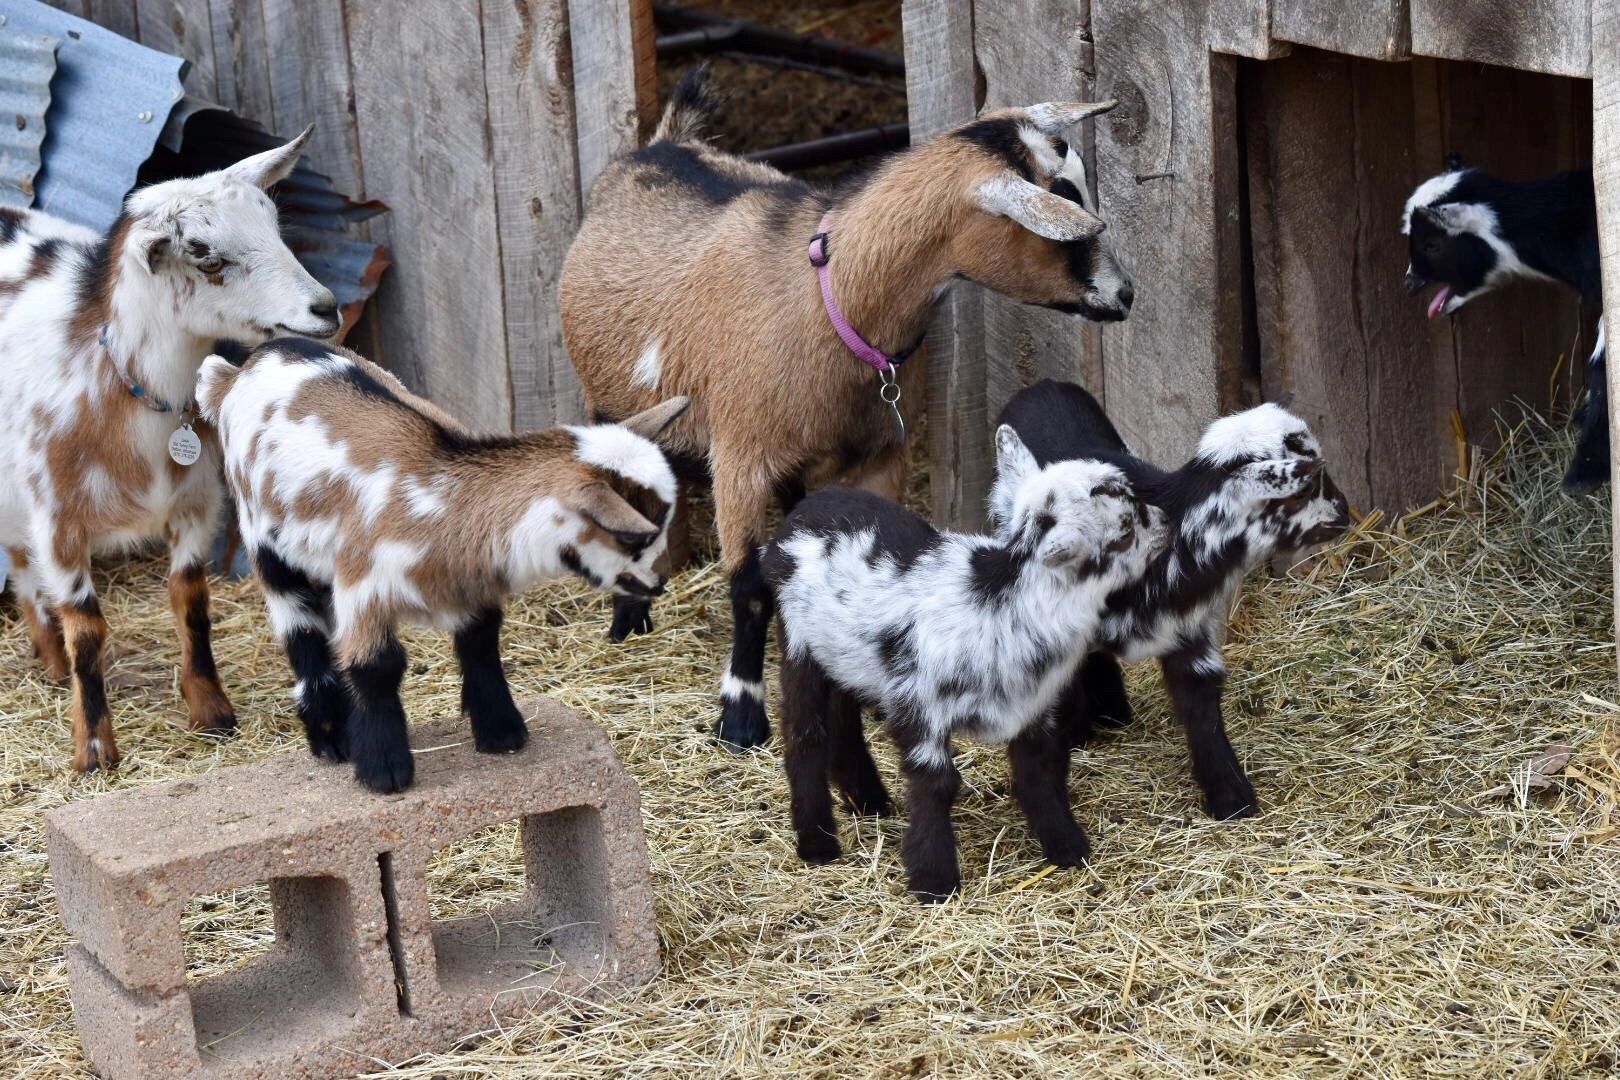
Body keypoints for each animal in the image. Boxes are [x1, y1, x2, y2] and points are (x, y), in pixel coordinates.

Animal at [0, 130, 339, 772]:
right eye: (205, 254)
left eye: (274, 223)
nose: (326, 308)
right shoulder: (57, 517)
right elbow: (86, 624)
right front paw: (93, 748)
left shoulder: (197, 501)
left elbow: (192, 601)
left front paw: (212, 712)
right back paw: (53, 659)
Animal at [197, 338, 688, 793]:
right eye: (636, 537)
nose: (660, 581)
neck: (439, 500)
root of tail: (240, 369)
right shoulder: (363, 583)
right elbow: (376, 665)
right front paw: (384, 770)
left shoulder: (469, 587)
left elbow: (481, 643)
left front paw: (501, 732)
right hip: (265, 541)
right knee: (302, 632)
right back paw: (331, 739)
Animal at [561, 67, 1135, 752]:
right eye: (1062, 203)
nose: (1126, 295)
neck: (829, 299)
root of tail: (663, 144)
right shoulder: (740, 456)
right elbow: (747, 588)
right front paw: (742, 715)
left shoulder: (879, 456)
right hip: (609, 400)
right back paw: (629, 617)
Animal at [762, 426, 1163, 901]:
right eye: (1123, 533)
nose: (1166, 524)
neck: (1000, 599)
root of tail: (802, 514)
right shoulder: (921, 706)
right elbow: (936, 783)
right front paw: (934, 879)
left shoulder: (1033, 706)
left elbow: (1040, 771)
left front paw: (1066, 846)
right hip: (799, 643)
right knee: (805, 734)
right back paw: (817, 841)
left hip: (845, 655)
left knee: (842, 716)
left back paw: (869, 800)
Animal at [995, 380, 1350, 819]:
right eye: (1303, 488)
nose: (1345, 513)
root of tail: (1042, 386)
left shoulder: (1191, 636)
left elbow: (1201, 712)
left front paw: (1231, 799)